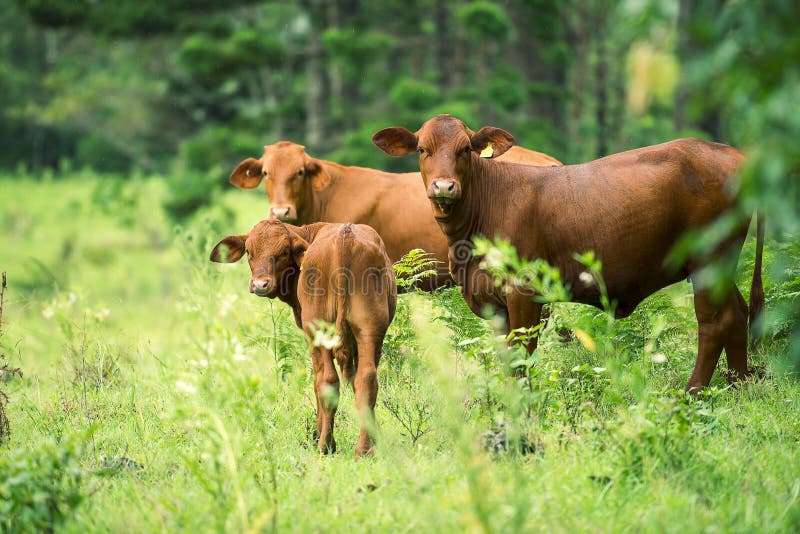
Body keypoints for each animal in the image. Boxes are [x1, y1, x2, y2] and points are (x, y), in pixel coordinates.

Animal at [210, 220, 397, 457]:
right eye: (249, 252)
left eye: (283, 252)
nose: (260, 284)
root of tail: (346, 235)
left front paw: (316, 434)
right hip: (370, 329)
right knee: (366, 380)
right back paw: (364, 449)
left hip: (319, 331)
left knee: (327, 381)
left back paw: (325, 444)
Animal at [372, 114, 765, 393]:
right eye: (422, 149)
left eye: (466, 148)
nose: (444, 186)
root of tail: (730, 153)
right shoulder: (490, 300)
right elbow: (506, 358)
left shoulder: (524, 294)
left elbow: (521, 356)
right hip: (720, 263)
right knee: (738, 311)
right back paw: (738, 383)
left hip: (709, 259)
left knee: (715, 321)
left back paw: (693, 392)